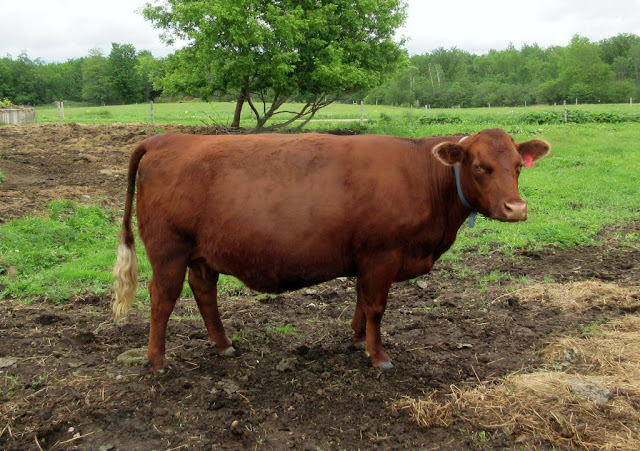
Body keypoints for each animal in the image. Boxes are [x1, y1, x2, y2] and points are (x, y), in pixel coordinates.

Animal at [112, 128, 550, 372]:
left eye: (518, 165)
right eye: (479, 167)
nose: (517, 208)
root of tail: (165, 139)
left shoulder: (367, 258)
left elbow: (361, 301)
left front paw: (357, 341)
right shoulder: (382, 253)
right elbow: (376, 306)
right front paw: (379, 355)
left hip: (203, 254)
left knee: (204, 292)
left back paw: (224, 345)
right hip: (169, 250)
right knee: (162, 299)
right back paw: (157, 362)